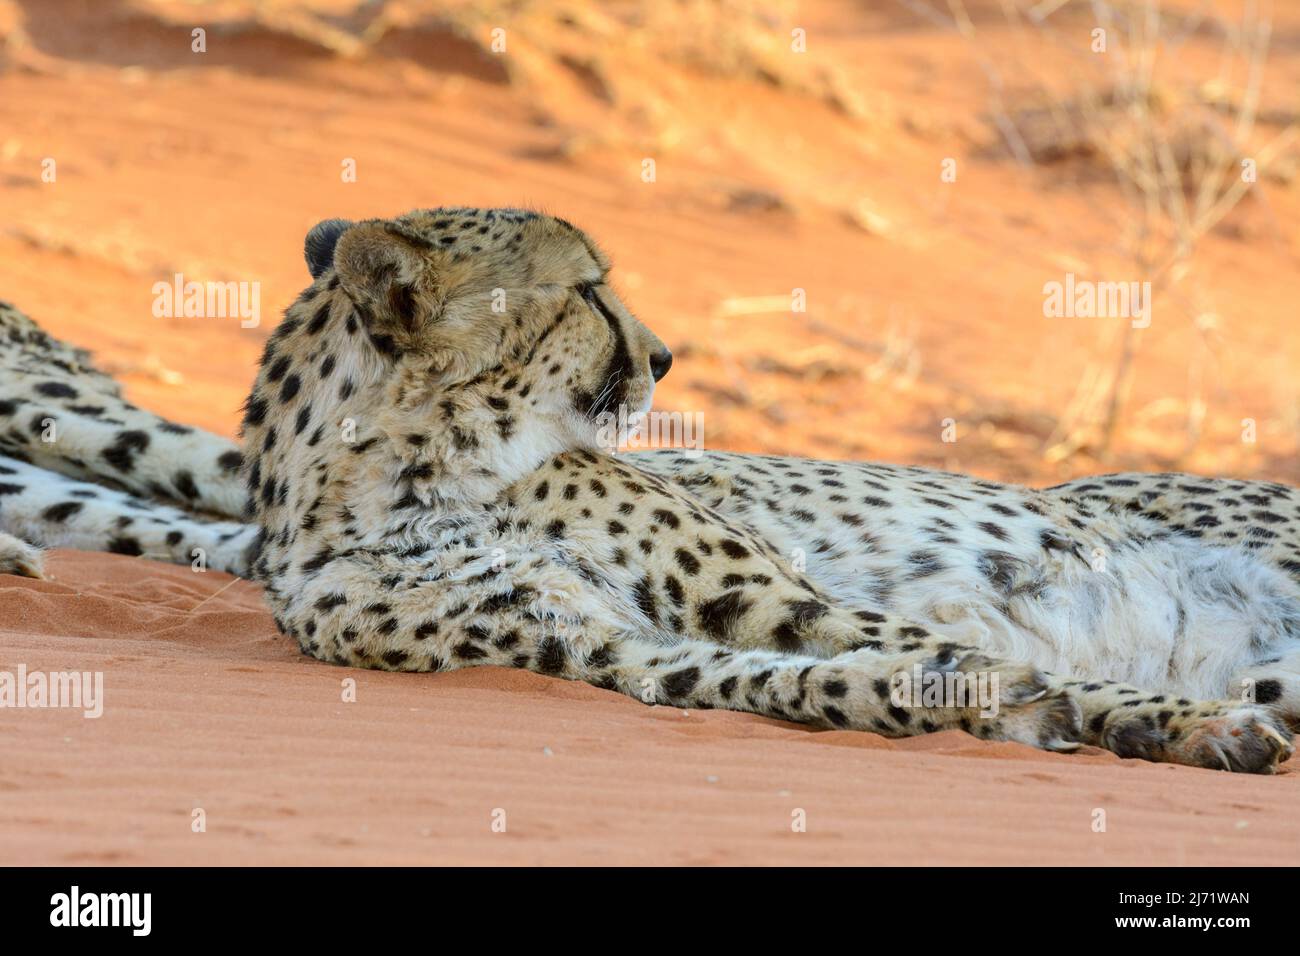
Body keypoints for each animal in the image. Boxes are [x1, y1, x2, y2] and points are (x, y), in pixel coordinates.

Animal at [2, 206, 1298, 775]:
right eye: (586, 289)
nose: (667, 355)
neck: (414, 475)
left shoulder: (773, 591)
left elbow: (975, 646)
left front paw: (1168, 718)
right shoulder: (601, 648)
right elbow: (791, 679)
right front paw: (936, 695)